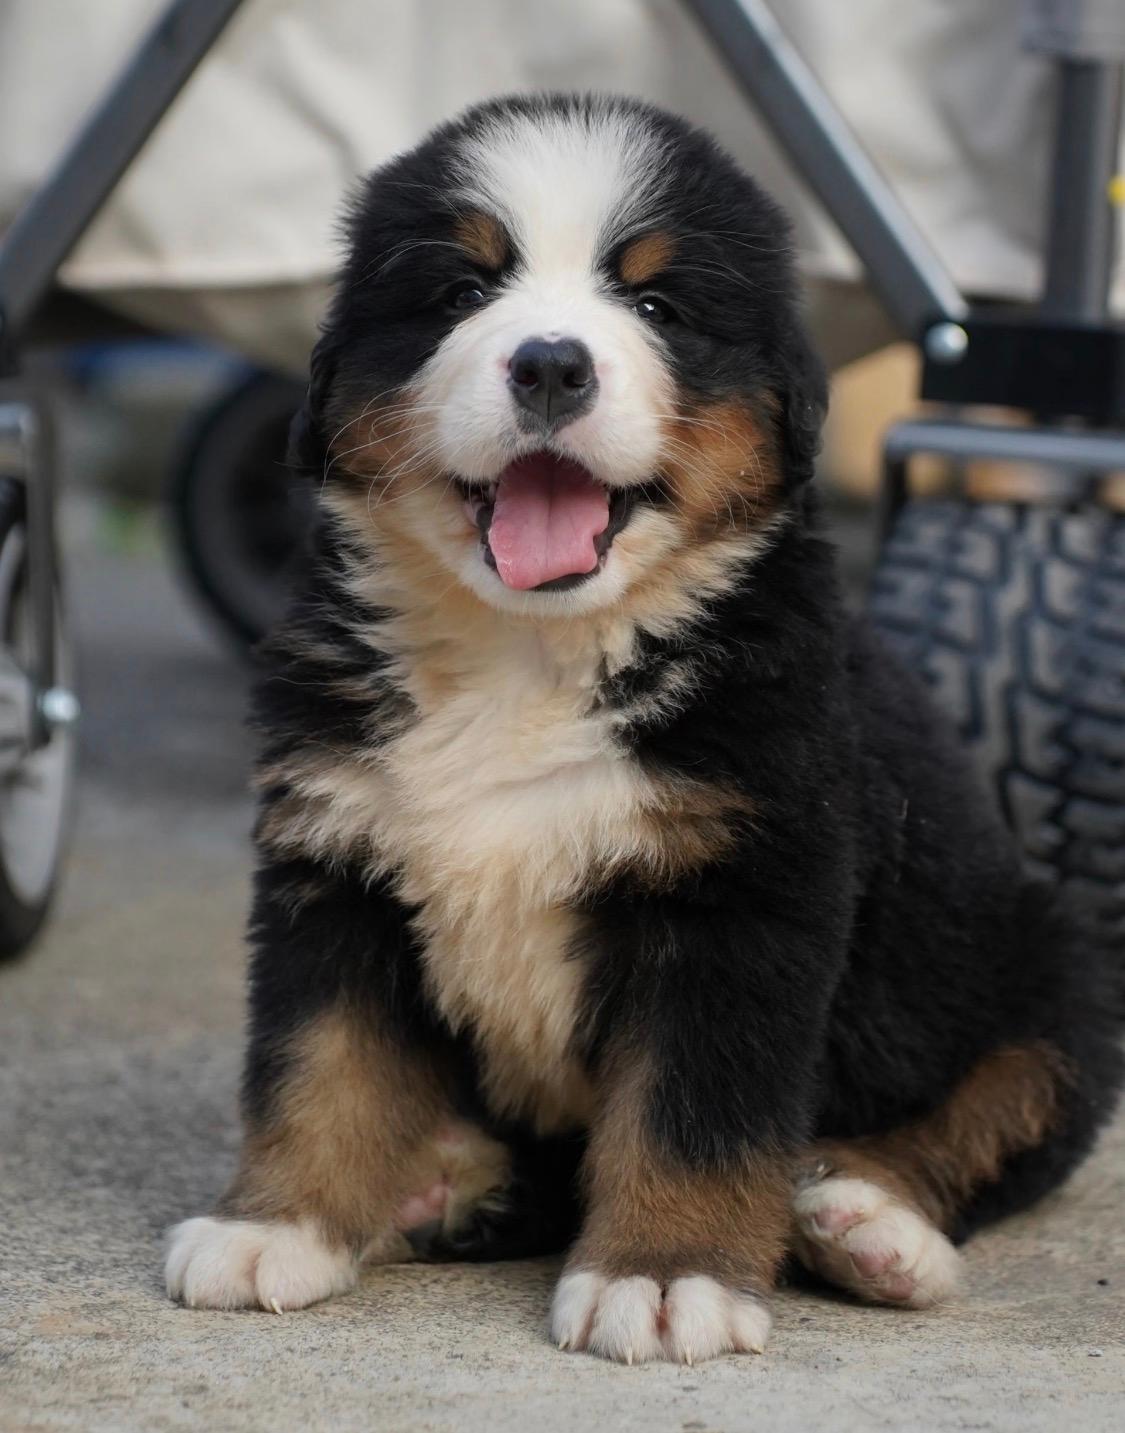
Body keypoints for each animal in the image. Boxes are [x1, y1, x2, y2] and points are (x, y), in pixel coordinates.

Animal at [165, 94, 1122, 1363]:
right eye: (462, 291)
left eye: (659, 305)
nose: (551, 362)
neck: (530, 655)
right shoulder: (335, 861)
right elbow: (320, 1062)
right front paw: (278, 1223)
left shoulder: (743, 896)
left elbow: (693, 1109)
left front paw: (665, 1276)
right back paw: (441, 1176)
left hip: (1055, 963)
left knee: (1000, 1106)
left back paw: (869, 1219)